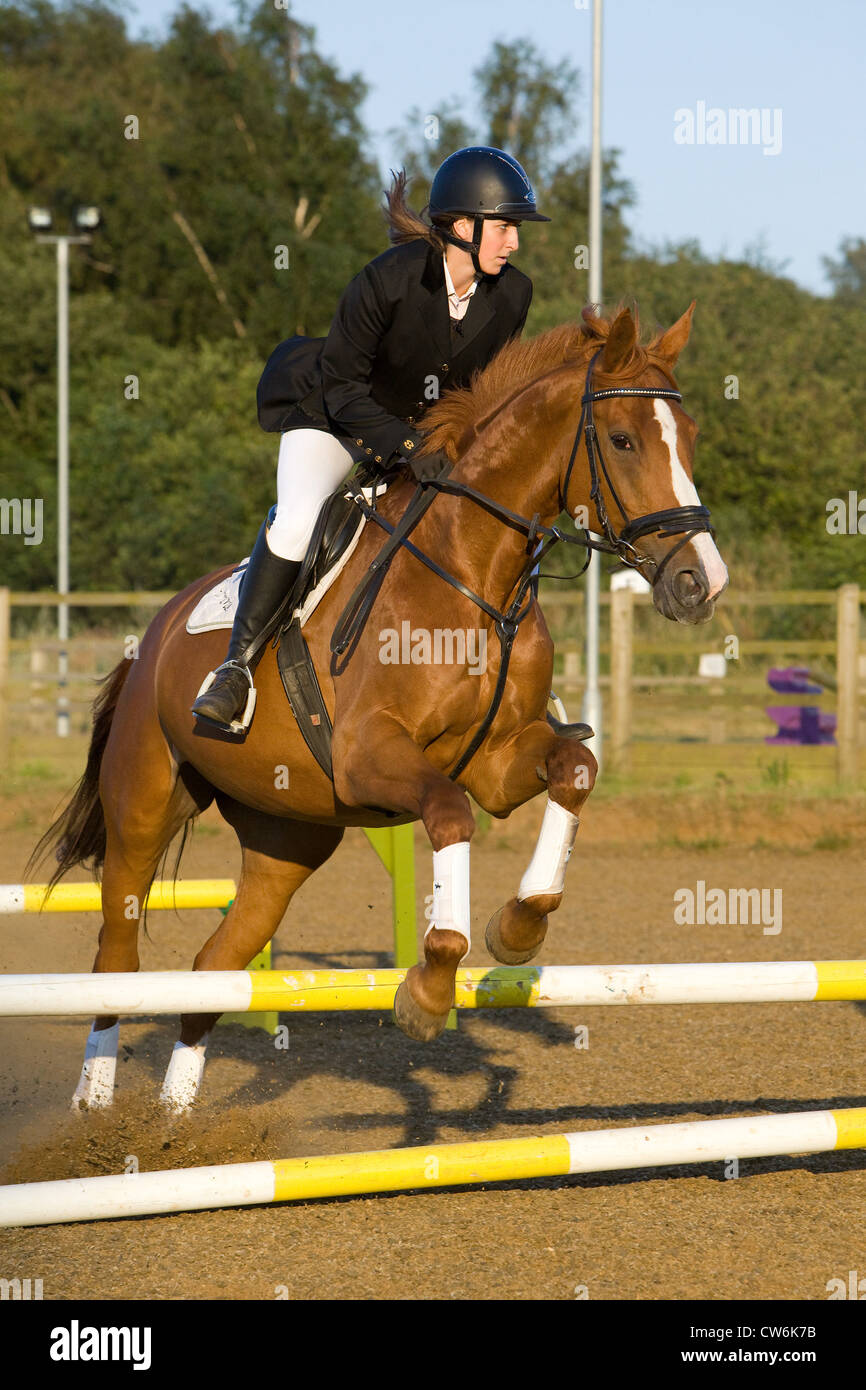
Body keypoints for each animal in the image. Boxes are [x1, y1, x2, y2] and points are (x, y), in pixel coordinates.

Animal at [29, 302, 728, 1111]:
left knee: (214, 968)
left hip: (285, 835)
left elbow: (573, 769)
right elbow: (450, 816)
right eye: (622, 440)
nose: (701, 583)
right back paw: (96, 1107)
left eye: (693, 438)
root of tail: (151, 635)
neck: (472, 572)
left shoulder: (495, 762)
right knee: (116, 955)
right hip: (144, 809)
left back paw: (173, 1119)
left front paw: (520, 927)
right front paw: (429, 990)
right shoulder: (371, 758)